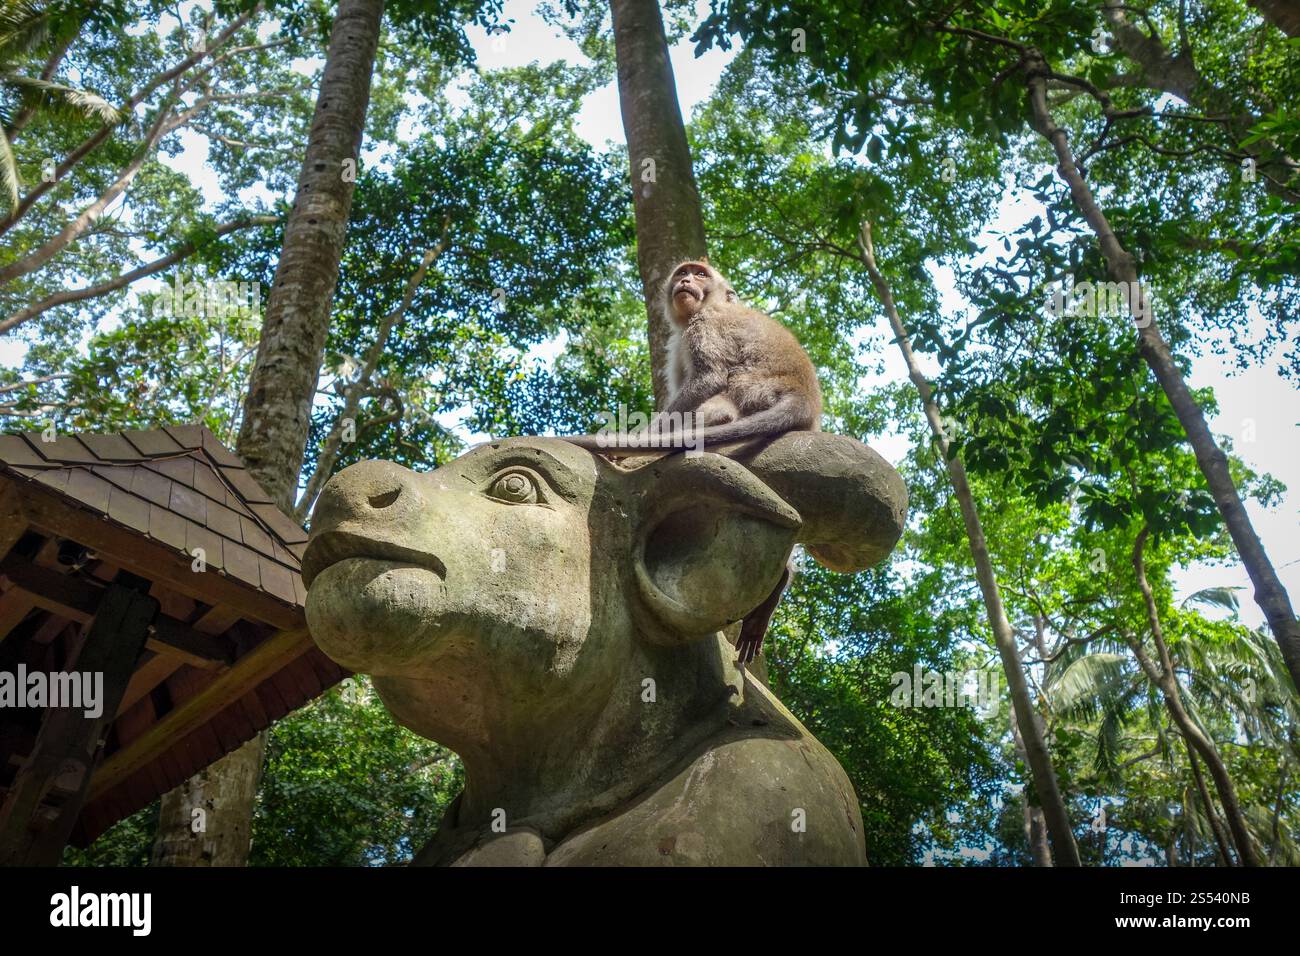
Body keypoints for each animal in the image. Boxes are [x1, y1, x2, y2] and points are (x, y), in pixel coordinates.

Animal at [562, 260, 822, 665]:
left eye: (699, 274)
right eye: (684, 272)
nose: (685, 280)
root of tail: (803, 397)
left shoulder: (705, 326)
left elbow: (707, 379)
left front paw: (636, 443)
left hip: (755, 388)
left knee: (721, 405)